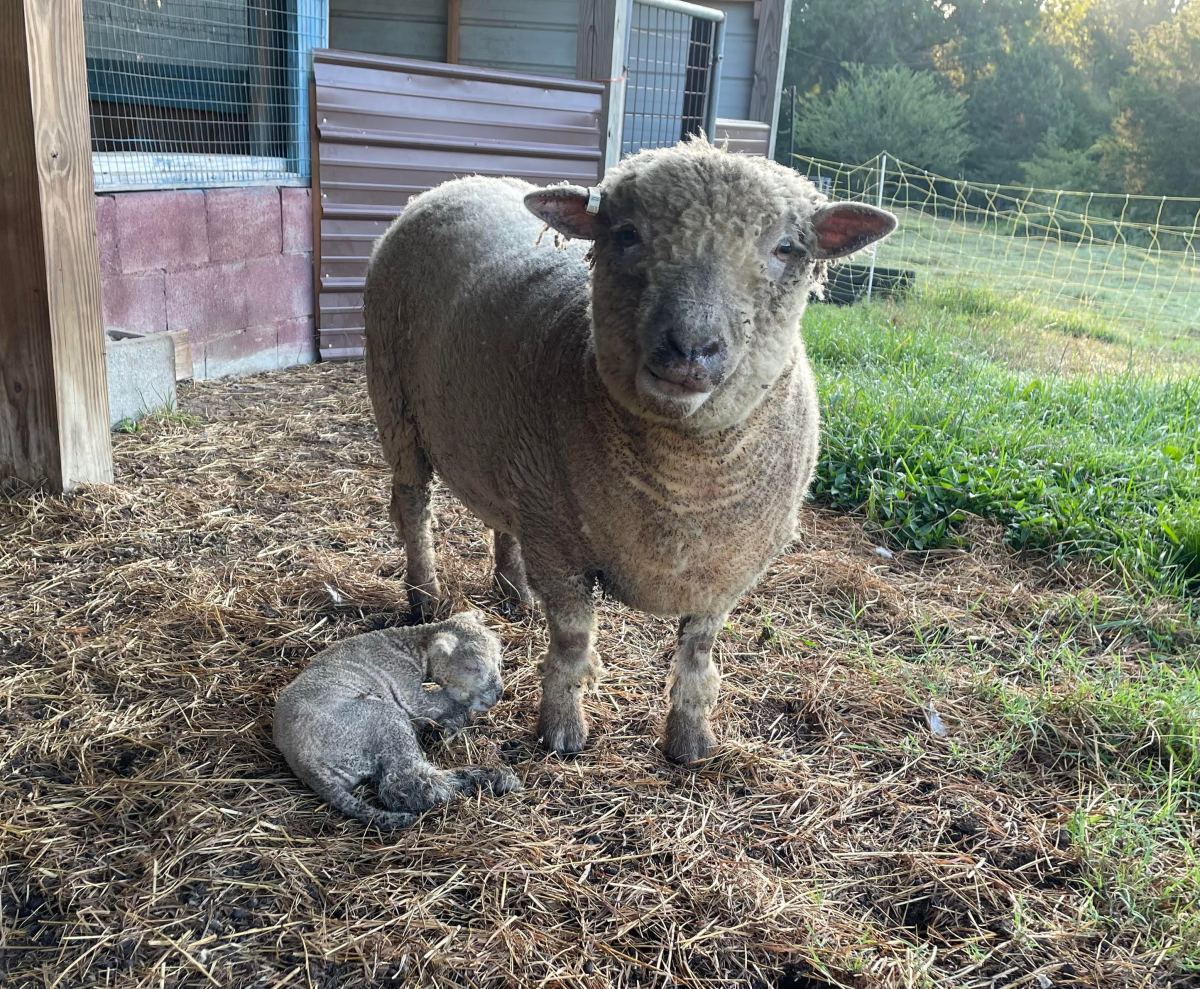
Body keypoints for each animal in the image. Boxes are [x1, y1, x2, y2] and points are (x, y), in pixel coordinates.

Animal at [273, 610, 519, 828]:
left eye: (498, 660)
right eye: (472, 667)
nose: (498, 693)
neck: (413, 646)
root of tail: (305, 764)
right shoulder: (410, 694)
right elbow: (446, 701)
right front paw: (459, 717)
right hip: (382, 719)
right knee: (410, 785)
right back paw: (493, 777)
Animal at [363, 136, 896, 764]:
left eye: (787, 247)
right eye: (626, 234)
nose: (691, 348)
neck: (684, 485)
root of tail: (462, 181)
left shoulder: (725, 569)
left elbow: (698, 657)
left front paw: (690, 741)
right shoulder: (560, 548)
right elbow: (573, 643)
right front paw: (562, 731)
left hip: (508, 448)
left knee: (501, 518)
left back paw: (513, 593)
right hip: (396, 404)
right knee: (413, 507)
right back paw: (424, 597)